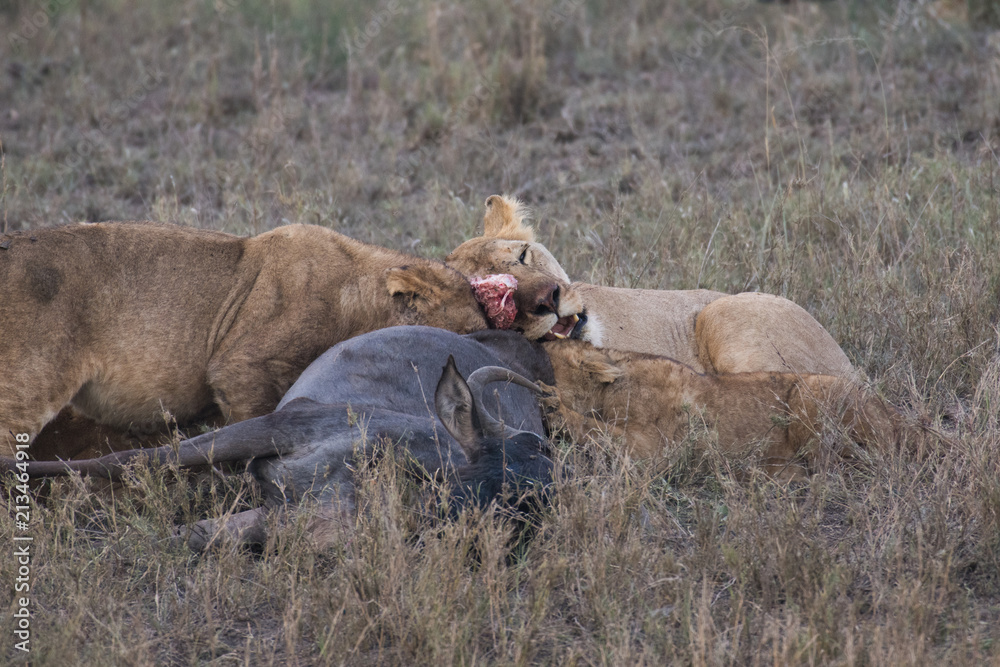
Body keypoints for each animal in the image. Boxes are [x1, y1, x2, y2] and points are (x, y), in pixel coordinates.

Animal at [541, 340, 902, 477]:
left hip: (808, 394)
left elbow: (598, 429)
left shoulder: (657, 452)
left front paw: (553, 405)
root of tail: (893, 415)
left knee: (834, 468)